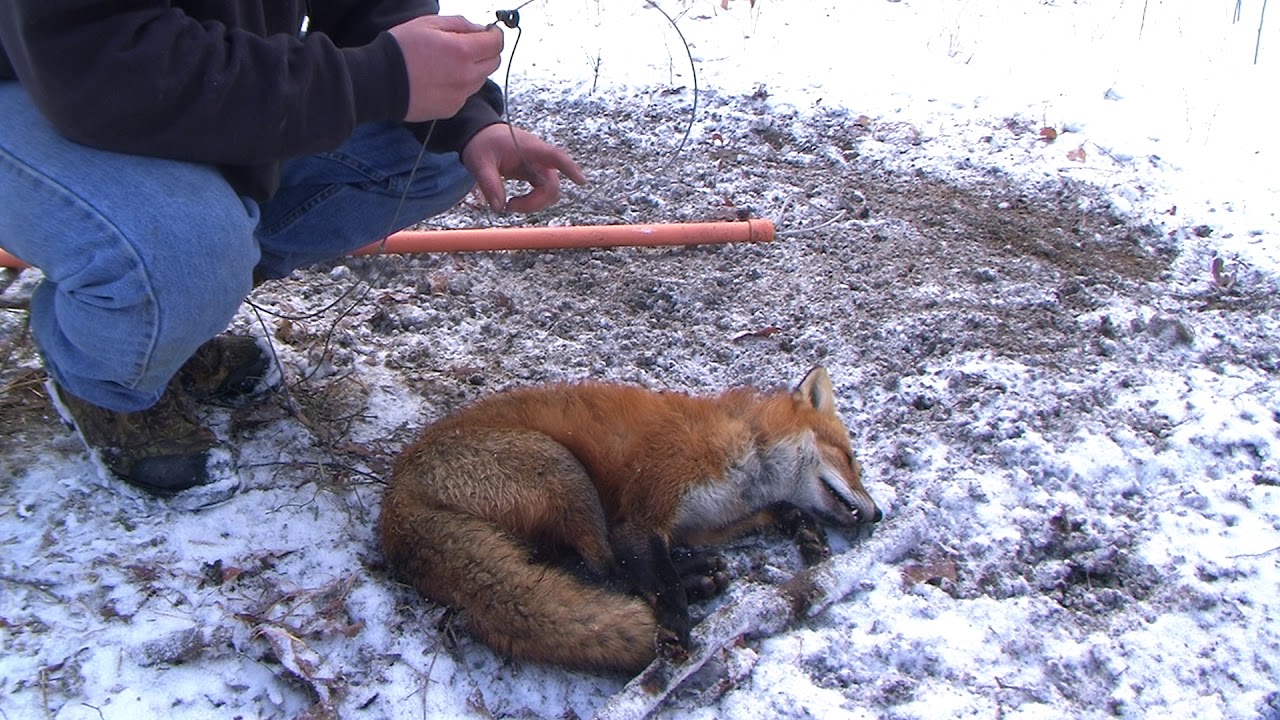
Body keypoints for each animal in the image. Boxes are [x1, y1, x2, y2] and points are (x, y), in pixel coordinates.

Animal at [377, 366, 881, 674]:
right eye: (850, 459)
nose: (878, 513)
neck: (745, 453)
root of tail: (394, 499)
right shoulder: (644, 513)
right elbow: (661, 582)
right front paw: (679, 630)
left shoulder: (704, 521)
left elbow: (776, 512)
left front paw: (806, 533)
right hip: (566, 472)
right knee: (605, 568)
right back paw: (697, 580)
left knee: (581, 565)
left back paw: (702, 572)